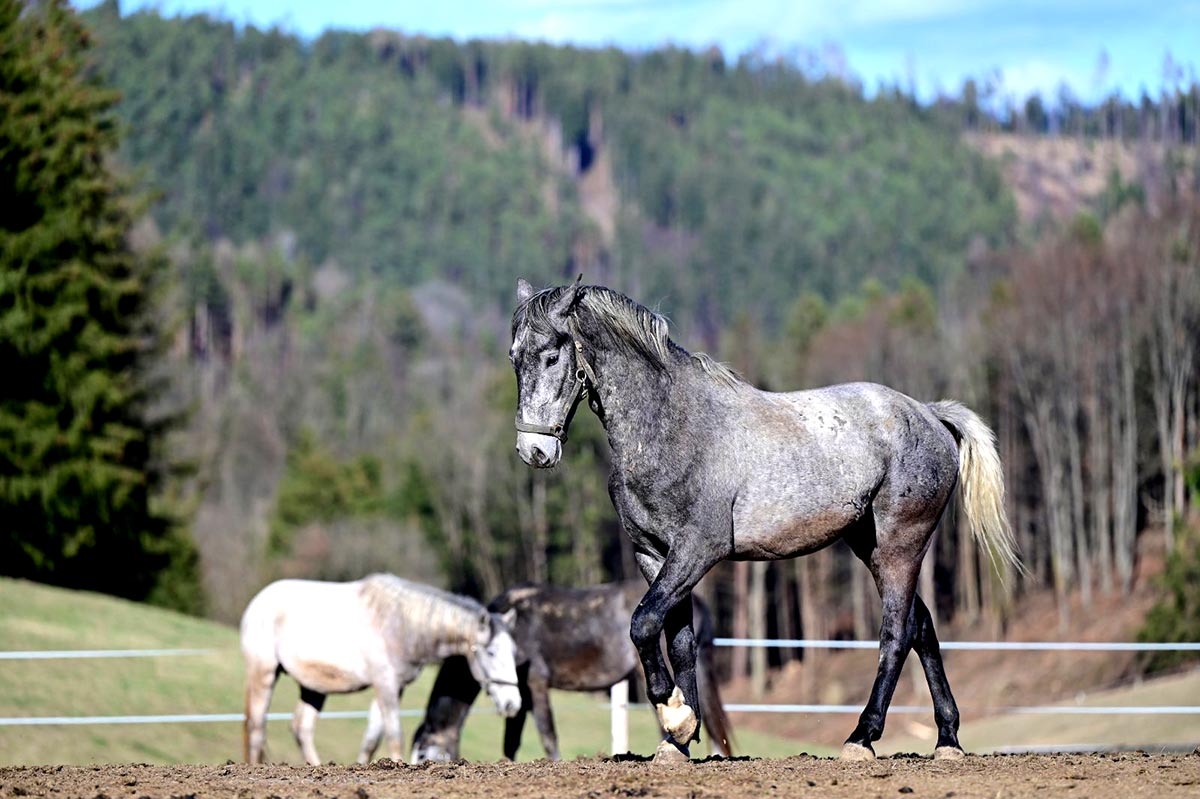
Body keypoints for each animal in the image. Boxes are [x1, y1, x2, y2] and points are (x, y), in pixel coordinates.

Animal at [240, 573, 522, 765]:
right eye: (491, 652)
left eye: (513, 651)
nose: (513, 704)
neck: (400, 624)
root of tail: (257, 602)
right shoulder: (385, 683)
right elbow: (394, 734)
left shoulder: (394, 687)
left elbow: (372, 739)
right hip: (263, 672)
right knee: (256, 726)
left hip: (313, 687)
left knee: (302, 729)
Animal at [410, 581, 734, 762]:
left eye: (423, 754)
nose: (420, 764)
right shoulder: (520, 694)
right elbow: (511, 741)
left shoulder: (535, 685)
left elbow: (548, 735)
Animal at [508, 278, 1020, 762]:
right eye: (514, 358)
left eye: (552, 356)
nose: (534, 451)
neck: (672, 427)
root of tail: (929, 414)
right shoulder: (653, 555)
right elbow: (677, 639)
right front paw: (679, 741)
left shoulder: (698, 550)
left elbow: (643, 622)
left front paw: (674, 716)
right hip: (871, 547)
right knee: (922, 627)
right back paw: (947, 738)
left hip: (901, 546)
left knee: (896, 634)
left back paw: (862, 738)